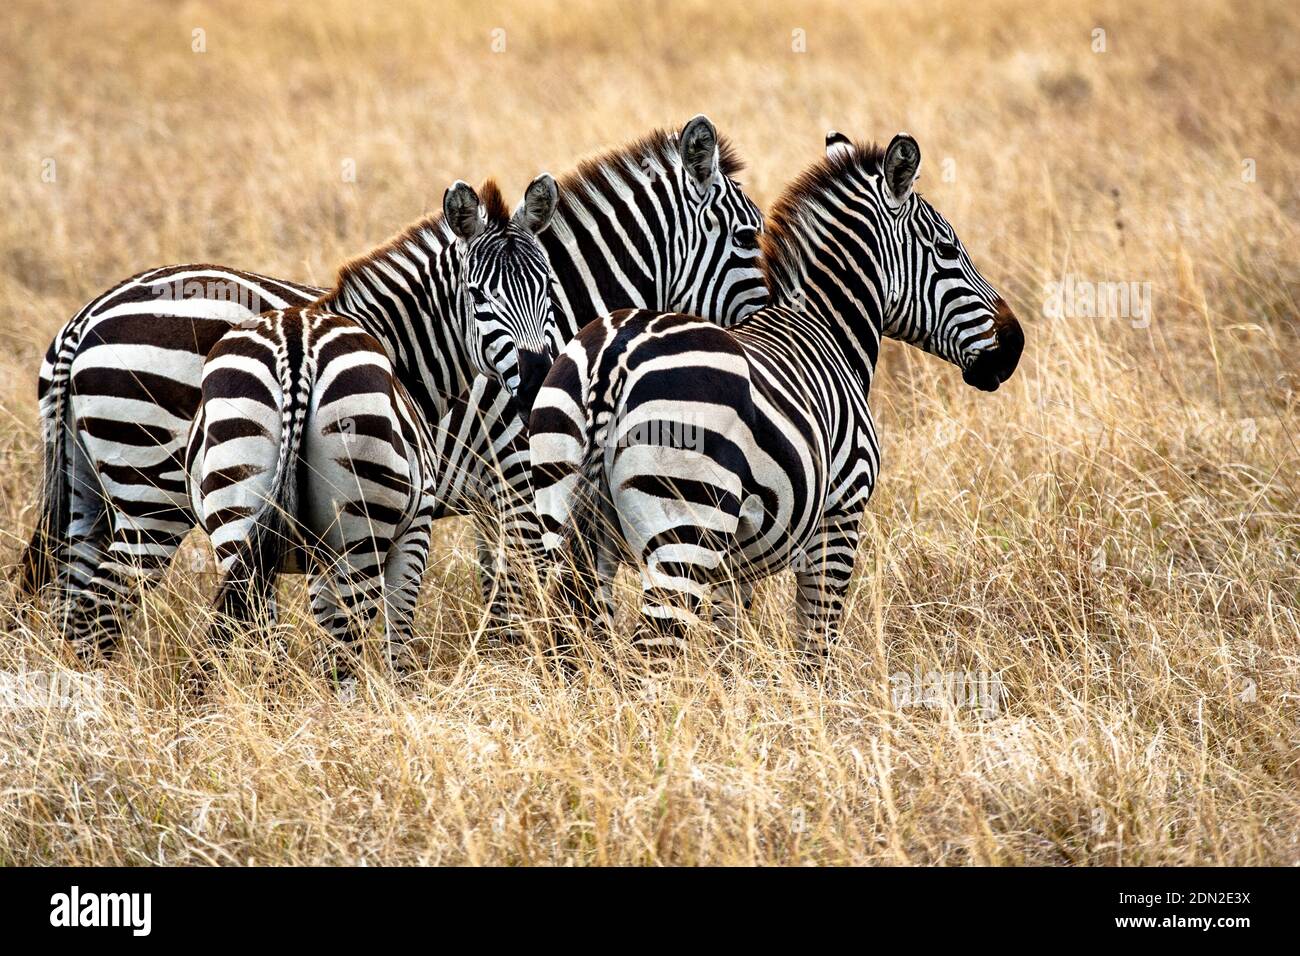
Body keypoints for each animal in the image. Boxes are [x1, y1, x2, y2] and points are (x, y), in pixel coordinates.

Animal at [21, 115, 766, 655]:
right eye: (748, 235)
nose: (769, 332)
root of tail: (84, 320)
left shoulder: (493, 494)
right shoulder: (515, 485)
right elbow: (521, 593)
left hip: (93, 493)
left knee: (78, 610)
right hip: (150, 491)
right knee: (107, 609)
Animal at [530, 131, 1024, 665]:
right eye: (947, 248)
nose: (1015, 345)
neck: (827, 329)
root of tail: (613, 359)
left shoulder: (737, 564)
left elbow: (729, 646)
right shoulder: (841, 517)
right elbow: (816, 648)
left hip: (565, 523)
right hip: (682, 531)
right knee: (654, 657)